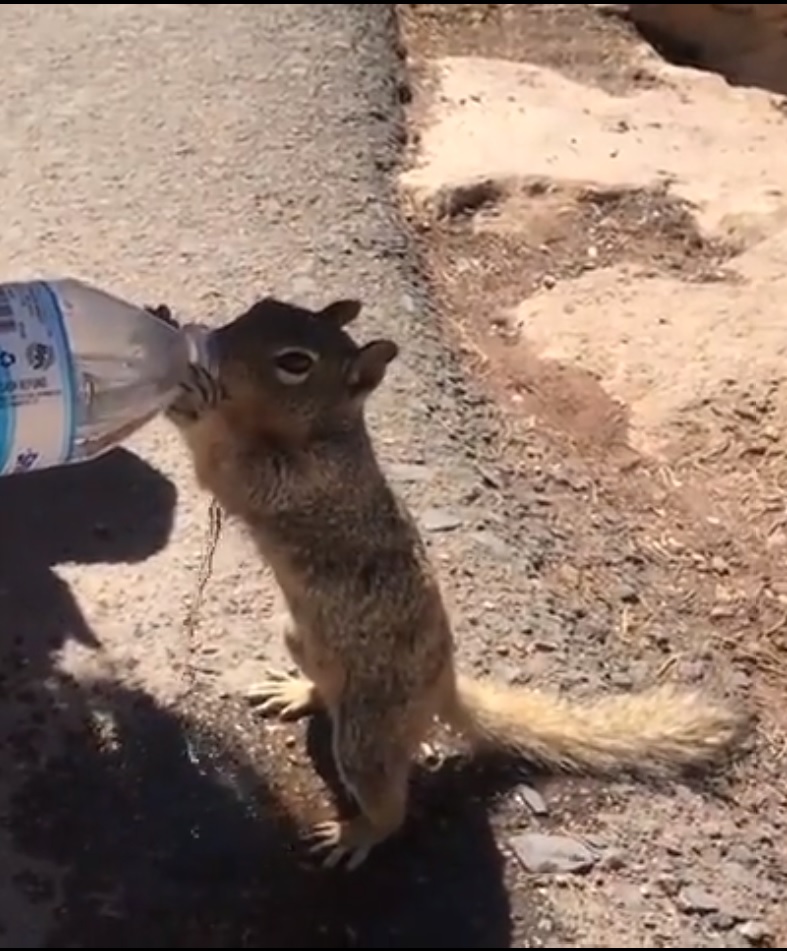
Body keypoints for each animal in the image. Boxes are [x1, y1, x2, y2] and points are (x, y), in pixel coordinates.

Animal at [158, 296, 750, 871]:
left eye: (295, 363)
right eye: (261, 306)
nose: (212, 342)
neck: (327, 431)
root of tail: (443, 683)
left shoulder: (299, 480)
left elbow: (225, 467)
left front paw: (186, 398)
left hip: (369, 732)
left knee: (388, 800)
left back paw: (356, 832)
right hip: (301, 639)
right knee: (327, 691)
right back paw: (298, 692)